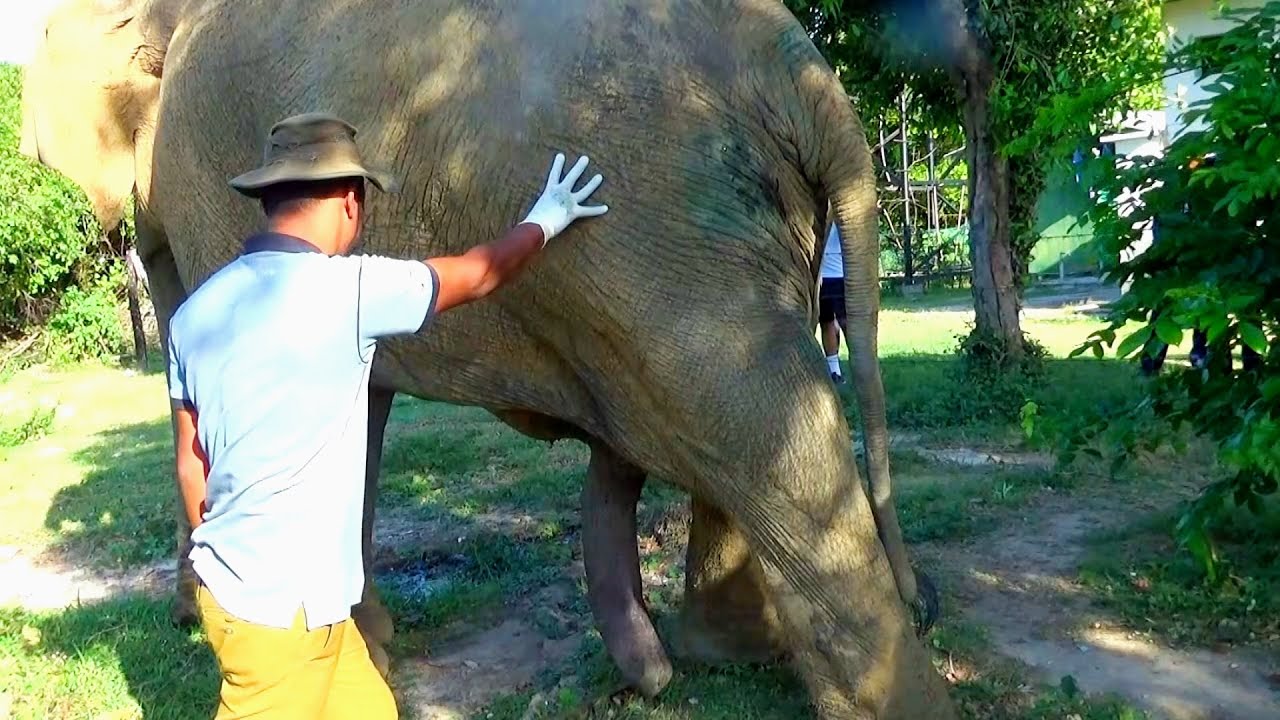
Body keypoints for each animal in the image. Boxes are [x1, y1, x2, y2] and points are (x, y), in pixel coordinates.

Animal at [21, 0, 955, 717]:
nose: (186, 618)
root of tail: (803, 73)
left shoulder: (200, 171)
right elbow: (357, 402)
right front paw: (362, 638)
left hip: (663, 228)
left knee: (753, 427)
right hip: (738, 227)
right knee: (744, 422)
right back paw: (720, 653)